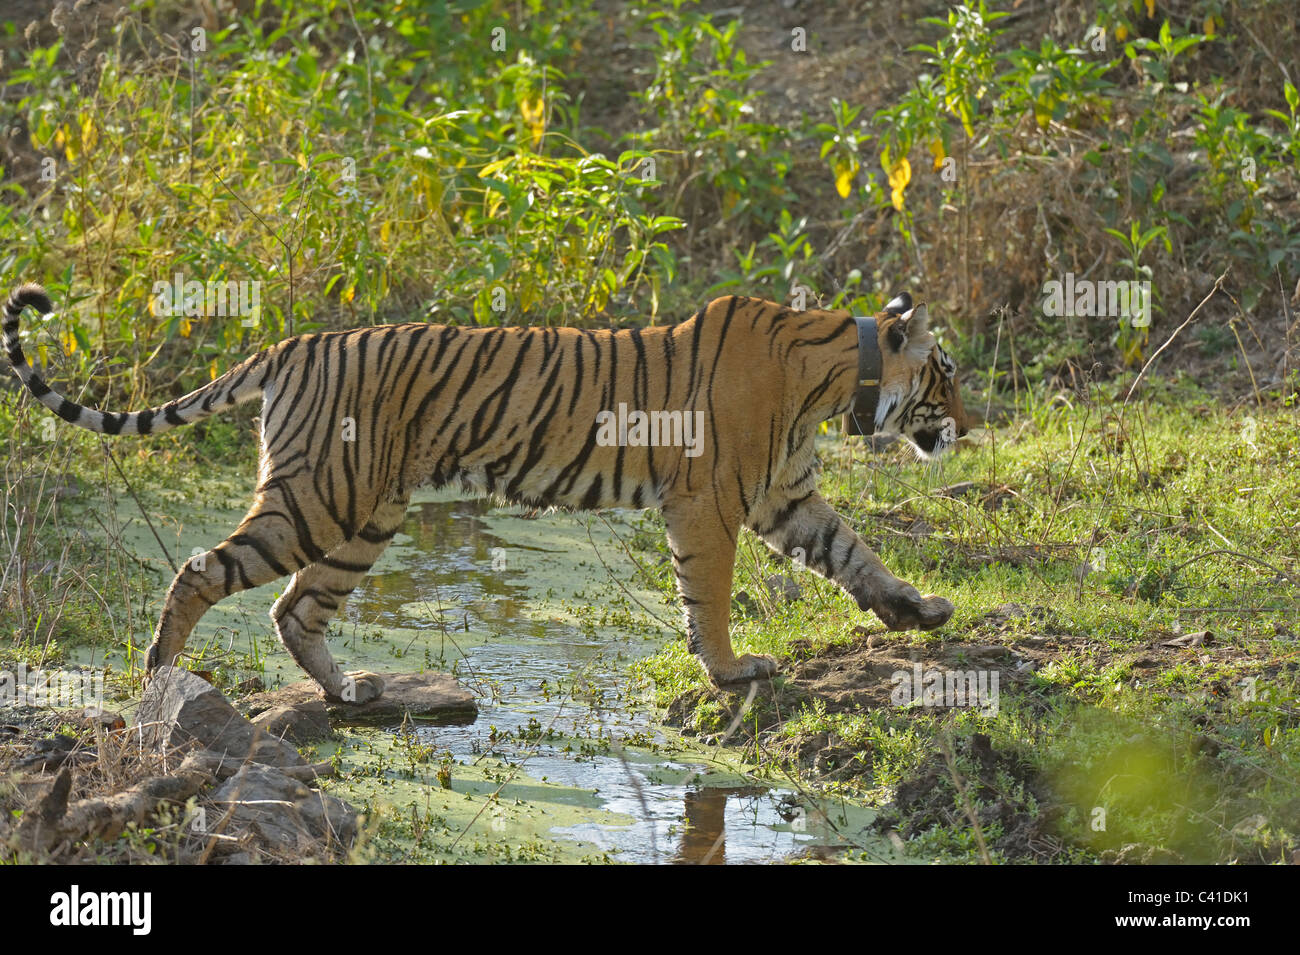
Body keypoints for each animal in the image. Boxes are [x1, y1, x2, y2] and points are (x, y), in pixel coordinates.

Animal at [4, 284, 967, 701]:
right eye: (948, 375)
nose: (969, 422)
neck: (836, 375)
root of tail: (290, 345)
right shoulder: (711, 502)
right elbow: (712, 596)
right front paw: (731, 668)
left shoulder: (784, 496)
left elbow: (857, 555)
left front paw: (918, 610)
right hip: (318, 498)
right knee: (203, 571)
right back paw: (161, 675)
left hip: (366, 512)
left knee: (295, 607)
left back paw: (349, 688)